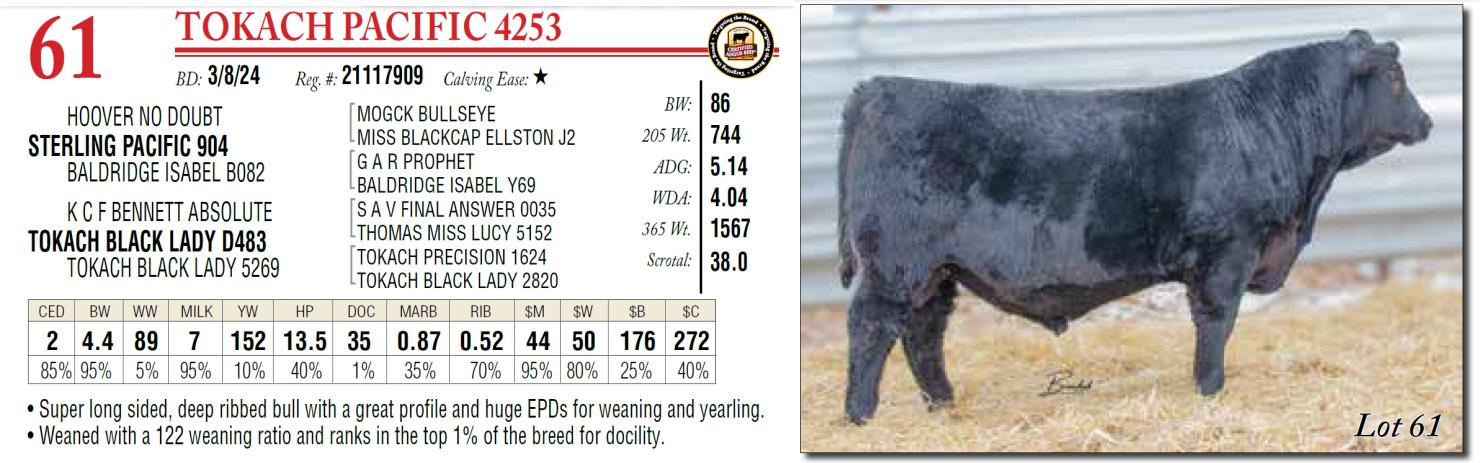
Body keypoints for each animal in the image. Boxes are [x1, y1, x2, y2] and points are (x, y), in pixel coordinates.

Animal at [835, 29, 1431, 424]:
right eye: (1395, 77)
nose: (1426, 122)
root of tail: (876, 89)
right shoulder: (1228, 249)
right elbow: (1217, 321)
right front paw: (1210, 389)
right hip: (895, 261)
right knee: (871, 327)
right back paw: (860, 414)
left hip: (935, 271)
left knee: (923, 333)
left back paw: (943, 403)